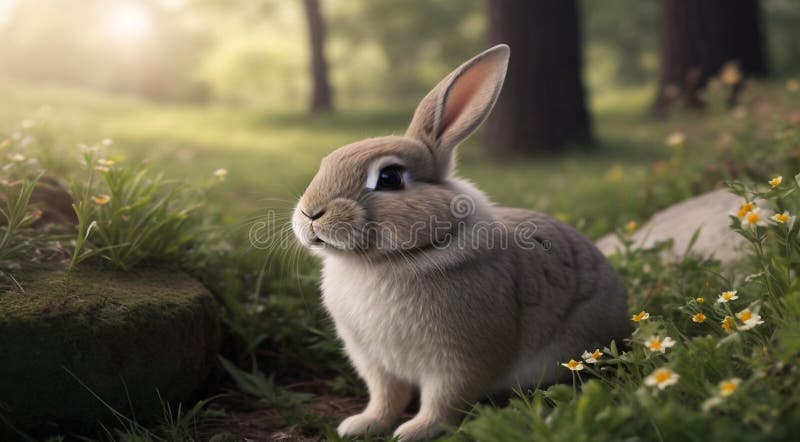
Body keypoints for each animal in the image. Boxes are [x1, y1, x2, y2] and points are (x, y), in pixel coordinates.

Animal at [291, 44, 629, 441]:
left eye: (389, 177)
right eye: (327, 161)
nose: (310, 213)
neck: (387, 260)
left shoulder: (460, 358)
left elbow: (444, 399)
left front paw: (414, 431)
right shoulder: (375, 362)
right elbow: (385, 396)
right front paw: (361, 425)